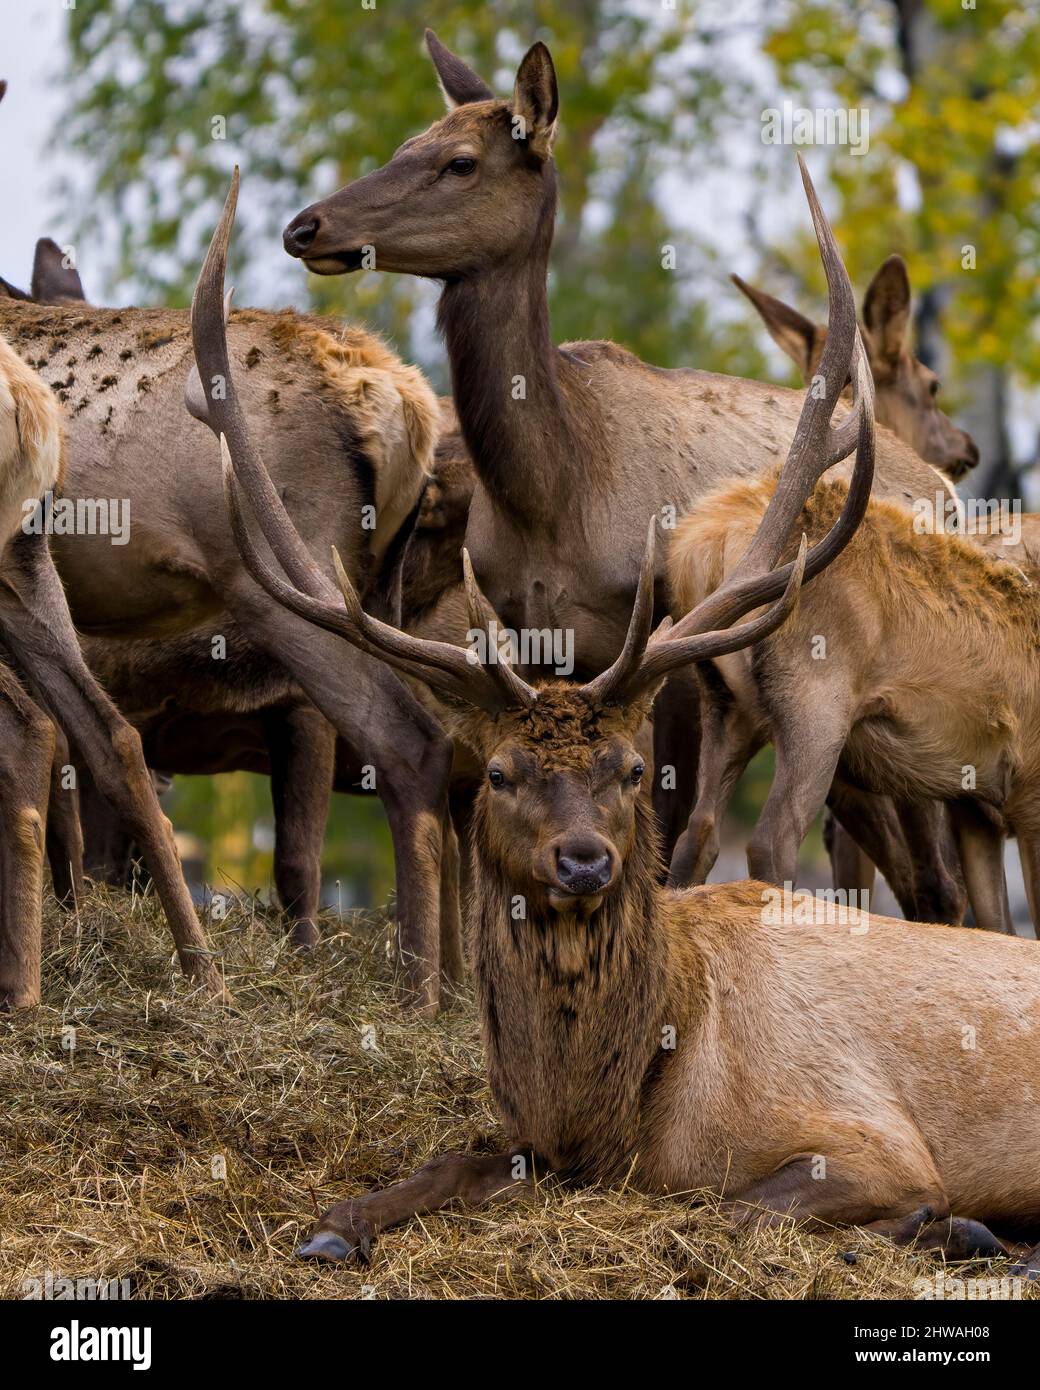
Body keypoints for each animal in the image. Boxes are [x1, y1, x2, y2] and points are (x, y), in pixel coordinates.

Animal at [202, 197, 1040, 1279]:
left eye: (631, 767)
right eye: (501, 772)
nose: (583, 860)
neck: (614, 1105)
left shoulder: (872, 1138)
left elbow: (719, 1214)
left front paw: (957, 1225)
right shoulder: (529, 1140)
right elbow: (435, 1165)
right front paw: (333, 1225)